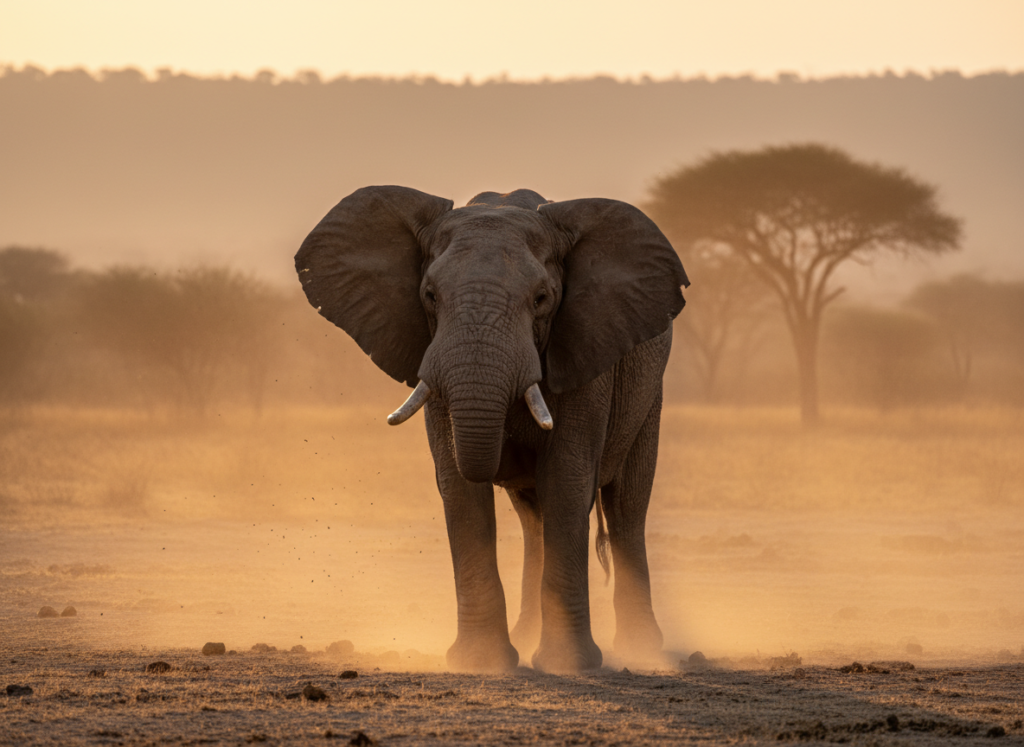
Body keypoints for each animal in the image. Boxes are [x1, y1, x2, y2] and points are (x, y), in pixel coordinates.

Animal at [295, 186, 689, 673]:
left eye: (542, 298)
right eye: (429, 295)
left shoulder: (586, 351)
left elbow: (567, 478)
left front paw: (568, 665)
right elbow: (459, 486)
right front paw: (480, 662)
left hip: (648, 389)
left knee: (626, 505)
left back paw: (643, 651)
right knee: (534, 517)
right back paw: (529, 635)